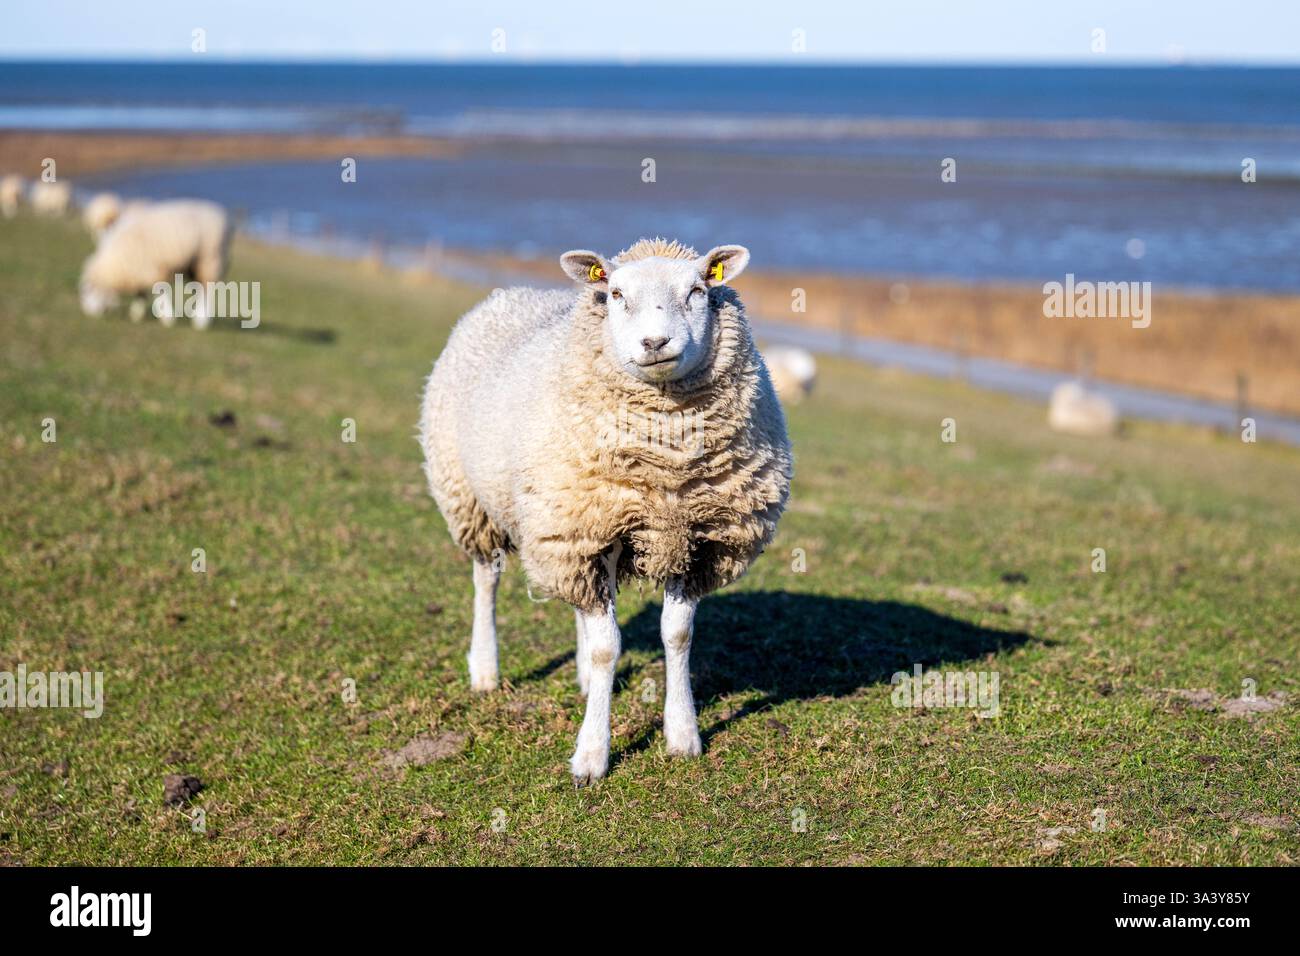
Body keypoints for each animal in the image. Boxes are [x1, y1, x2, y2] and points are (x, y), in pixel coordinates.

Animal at [79, 199, 233, 329]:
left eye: (86, 291)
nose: (88, 313)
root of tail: (222, 216)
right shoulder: (140, 271)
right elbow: (140, 293)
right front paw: (137, 313)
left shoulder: (155, 269)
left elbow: (160, 293)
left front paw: (168, 318)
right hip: (194, 265)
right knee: (199, 287)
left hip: (210, 258)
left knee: (208, 289)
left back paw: (201, 320)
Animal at [420, 237, 793, 784]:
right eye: (616, 293)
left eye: (698, 290)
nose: (655, 342)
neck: (665, 467)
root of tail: (514, 292)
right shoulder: (588, 534)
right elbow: (606, 647)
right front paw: (592, 755)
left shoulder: (690, 538)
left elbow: (677, 634)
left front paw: (682, 735)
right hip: (476, 501)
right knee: (486, 580)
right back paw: (486, 670)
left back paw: (579, 677)